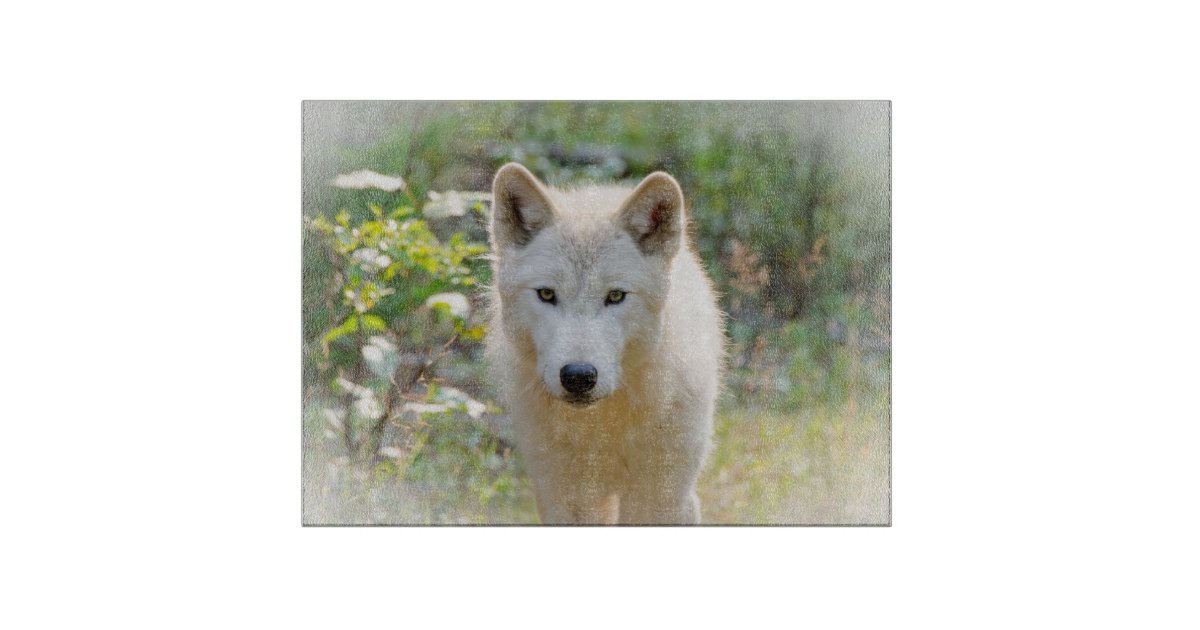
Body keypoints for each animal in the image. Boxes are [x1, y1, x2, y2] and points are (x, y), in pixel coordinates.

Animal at [485, 163, 725, 524]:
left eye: (615, 296)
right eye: (546, 294)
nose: (578, 376)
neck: (600, 427)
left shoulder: (661, 497)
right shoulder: (565, 497)